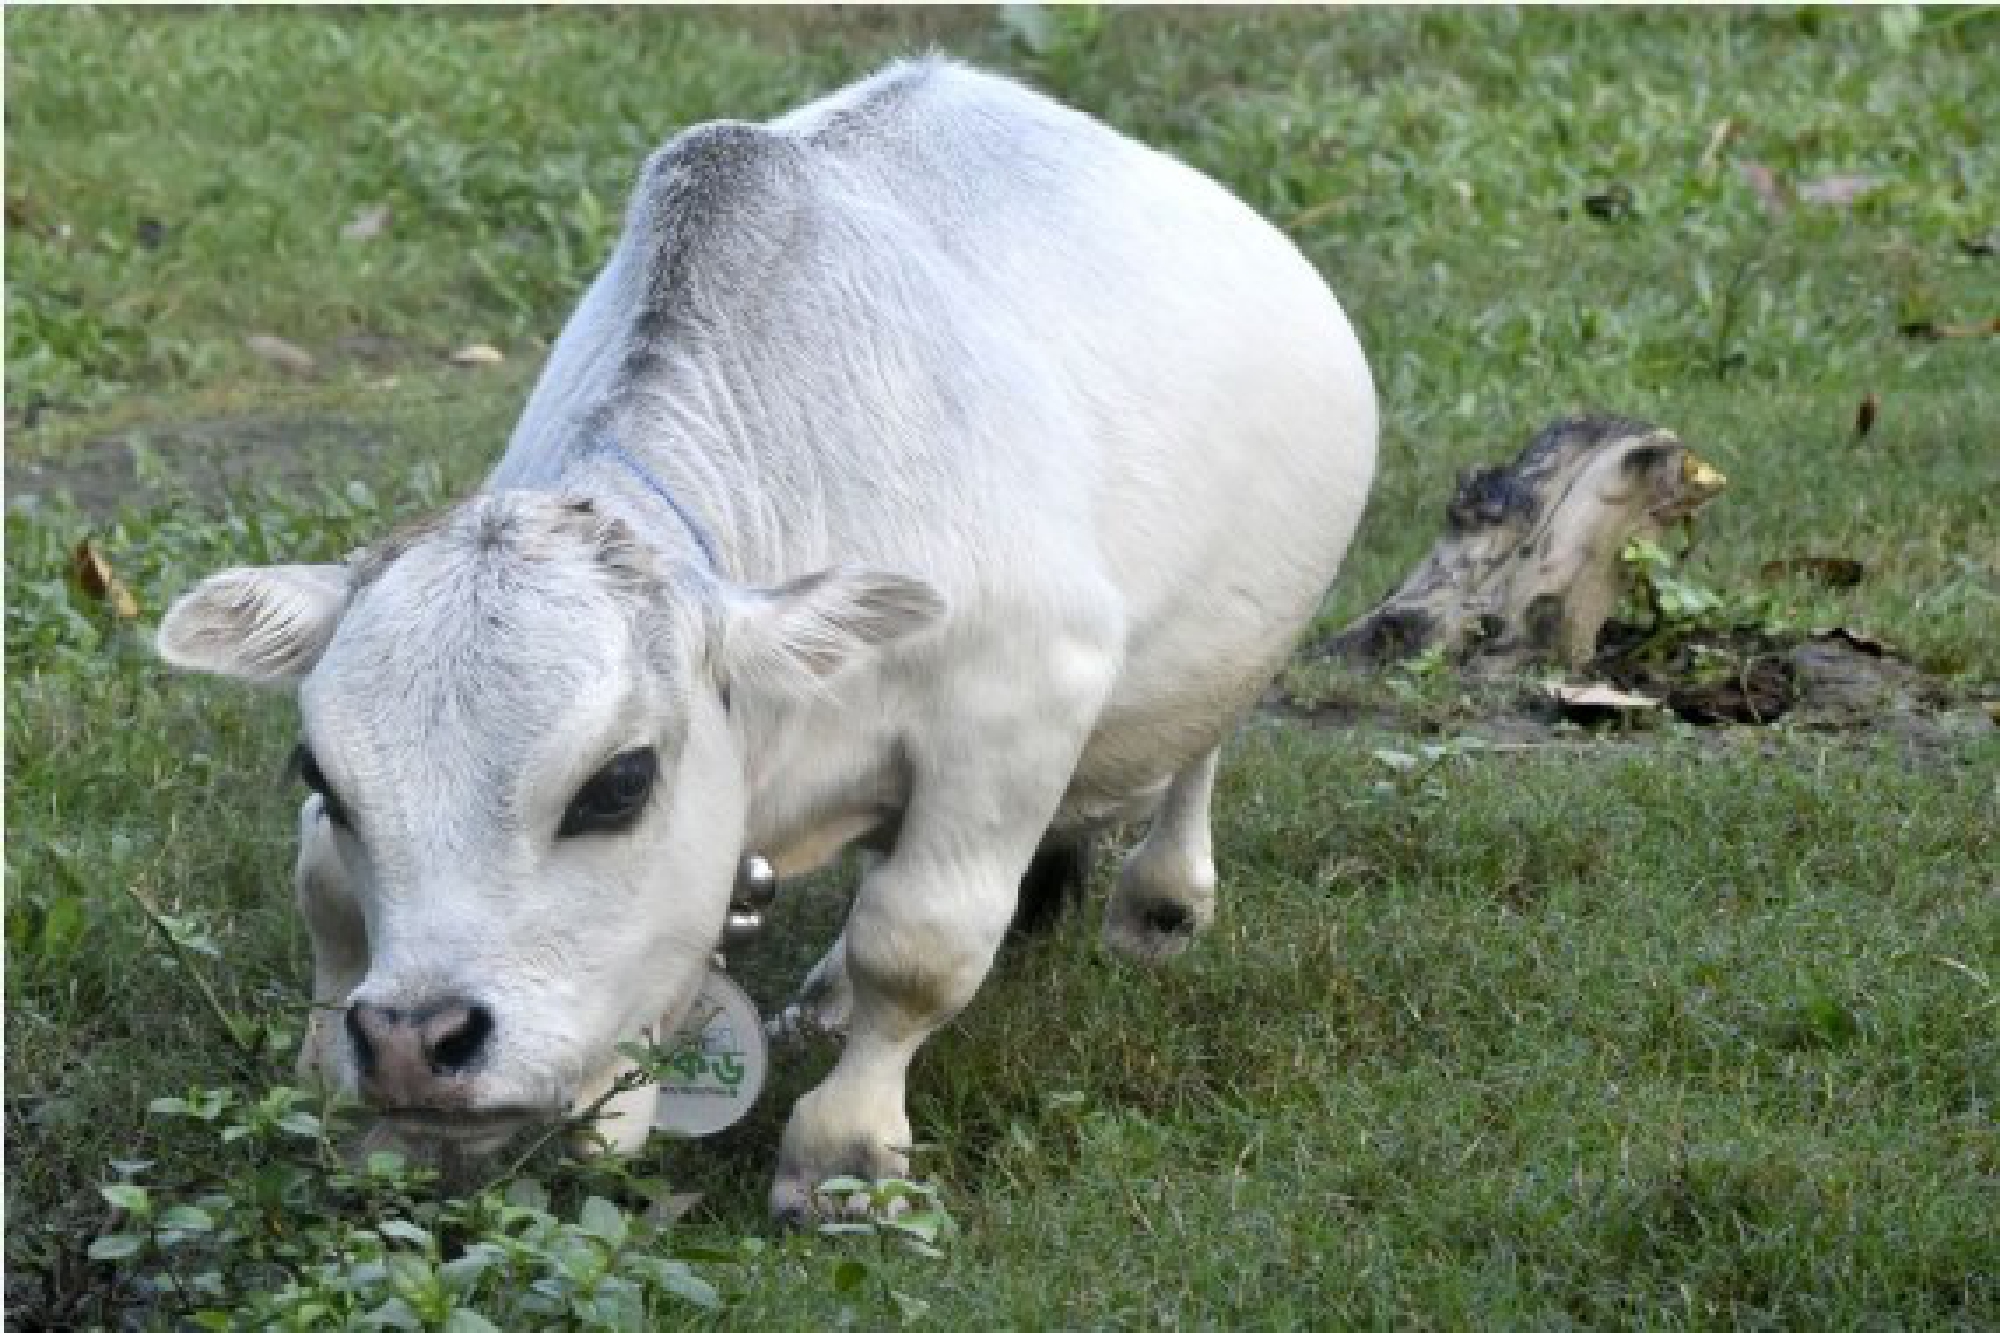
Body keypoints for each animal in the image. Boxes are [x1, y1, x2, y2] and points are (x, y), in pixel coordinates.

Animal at [157, 57, 1377, 1219]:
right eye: (321, 772)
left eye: (619, 783)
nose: (417, 1040)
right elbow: (322, 886)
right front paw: (331, 1085)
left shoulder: (1018, 707)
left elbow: (919, 943)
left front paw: (844, 1152)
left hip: (1233, 646)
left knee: (1196, 752)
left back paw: (1160, 899)